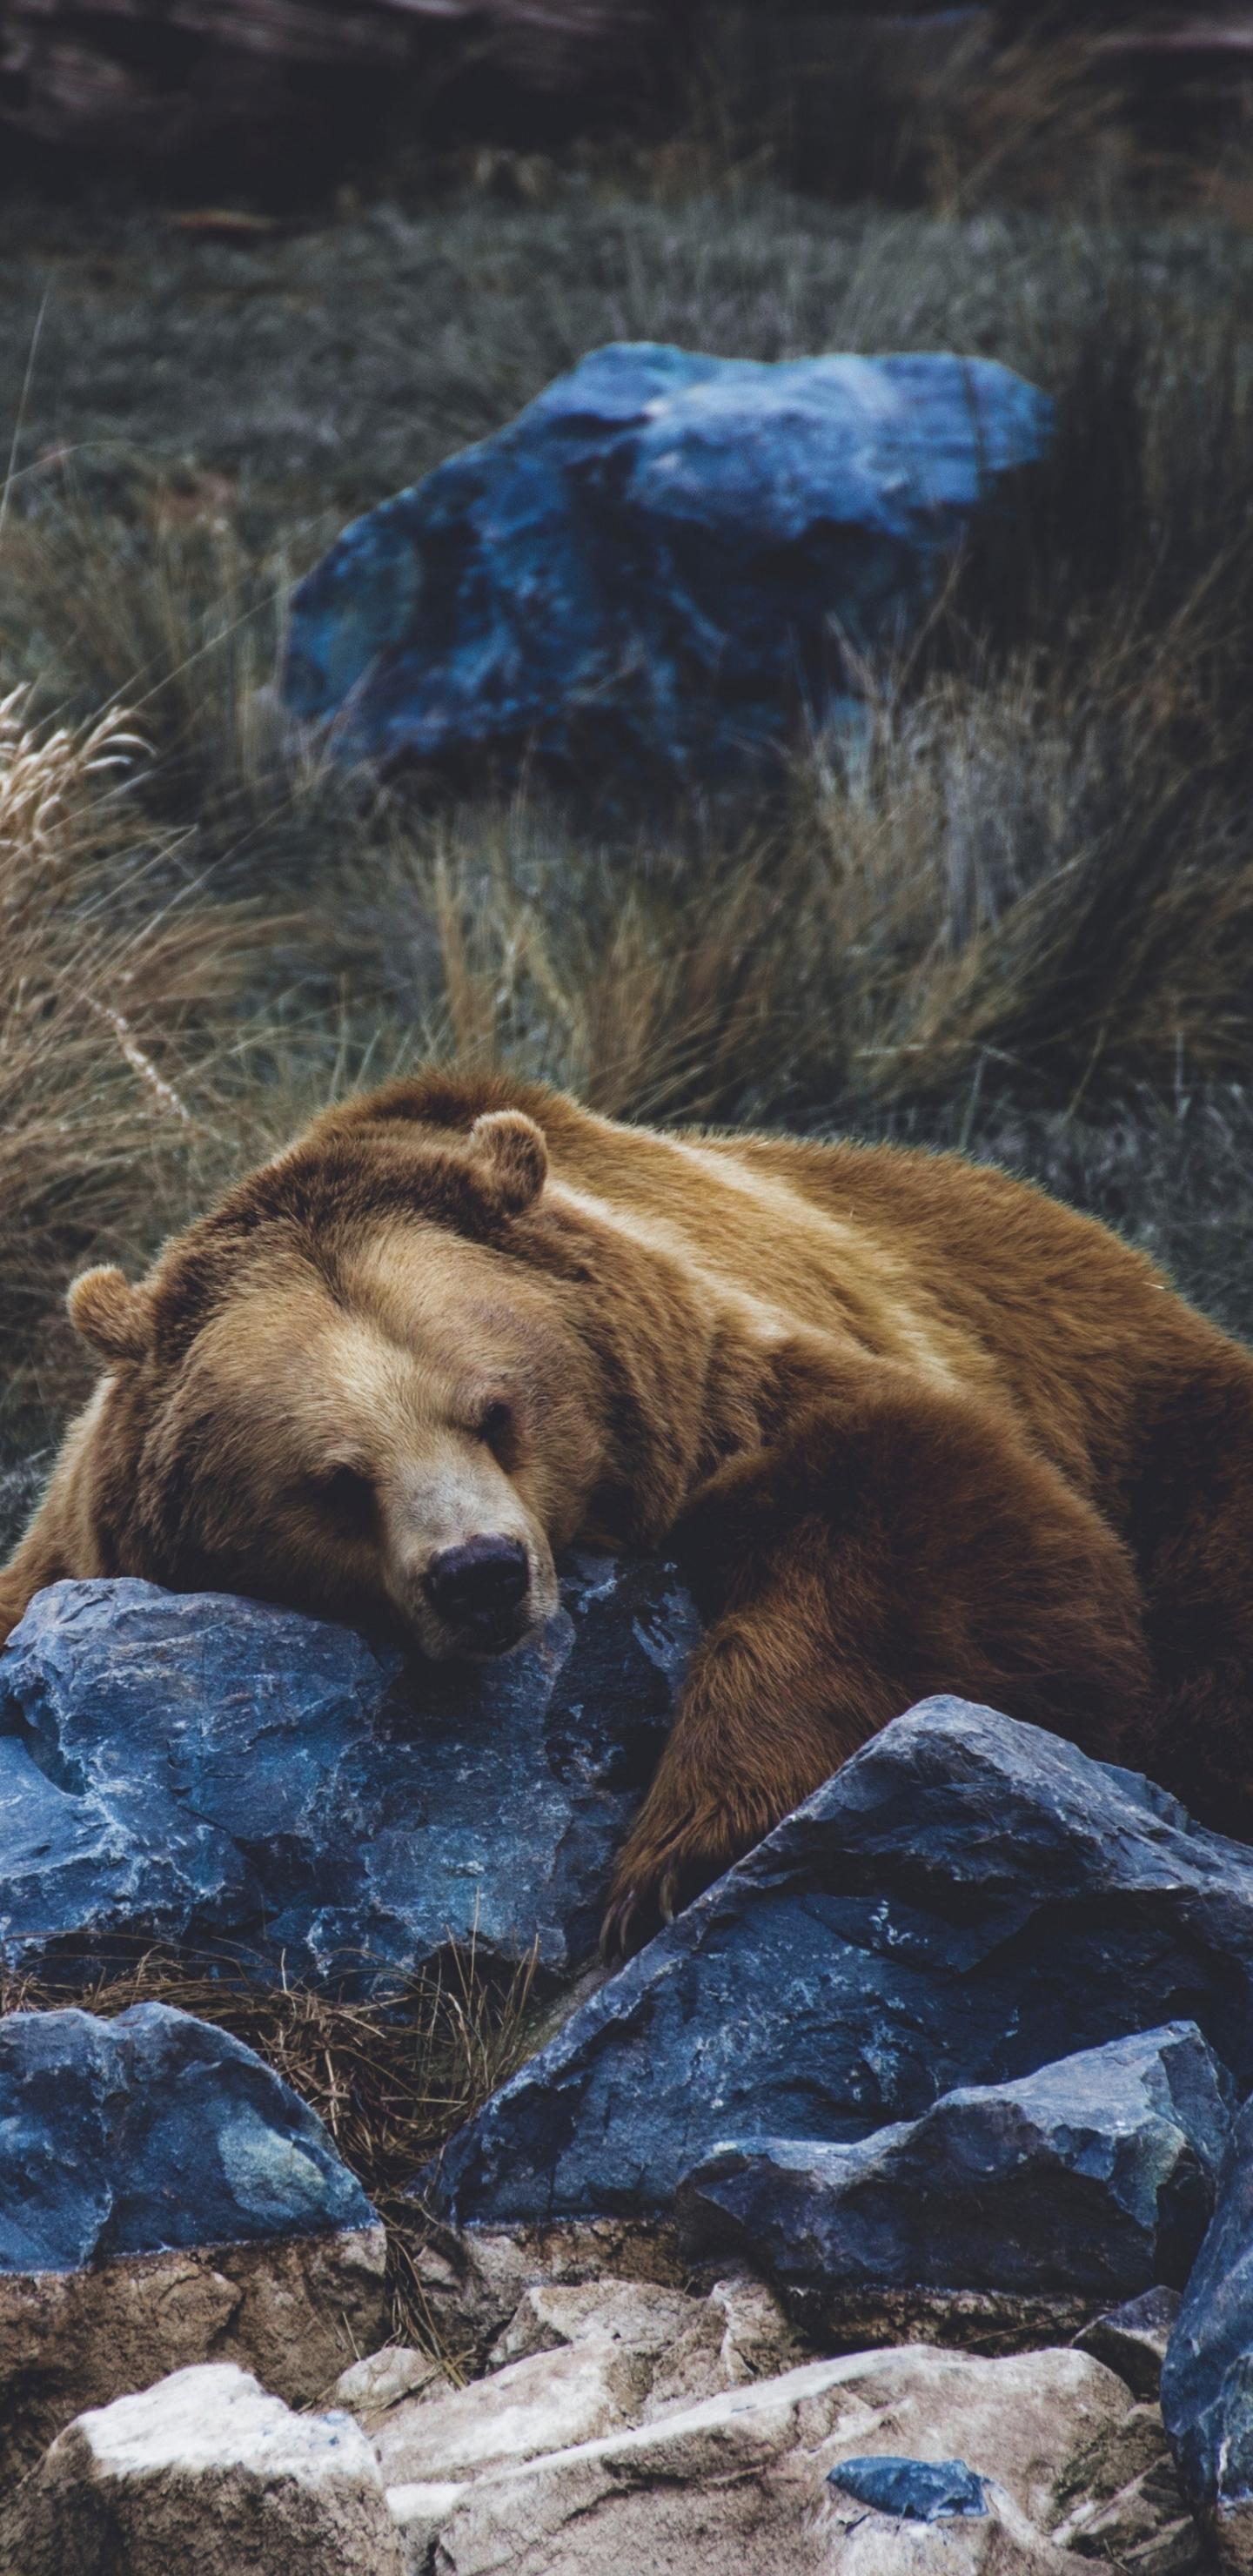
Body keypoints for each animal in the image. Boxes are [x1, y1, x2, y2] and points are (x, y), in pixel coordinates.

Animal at [4, 1065, 1253, 1957]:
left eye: (496, 1409)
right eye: (337, 1478)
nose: (481, 1572)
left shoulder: (712, 1388)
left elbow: (934, 1514)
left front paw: (677, 1851)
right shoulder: (74, 1542)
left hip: (1119, 1384)